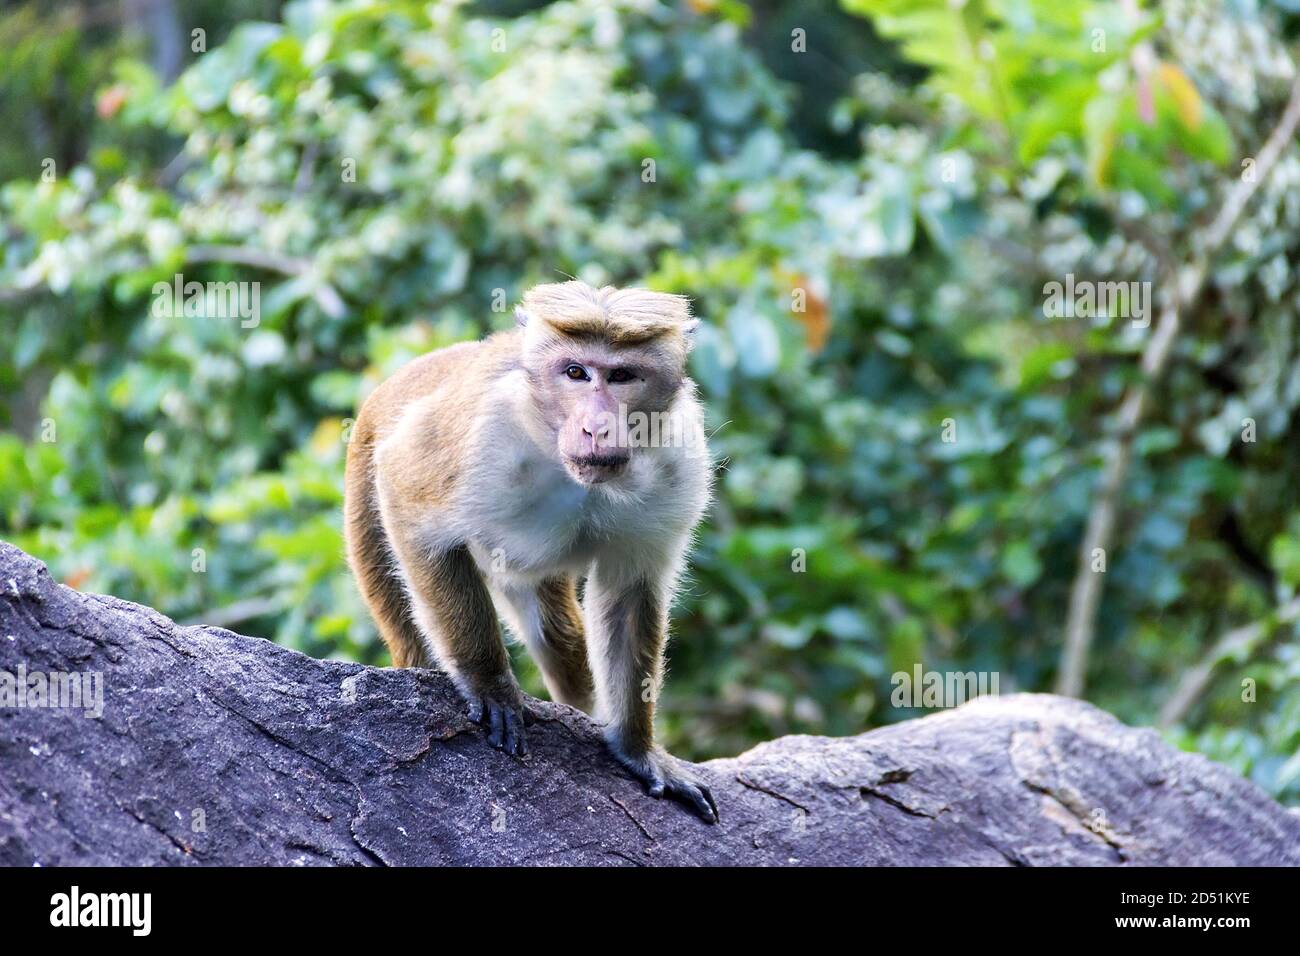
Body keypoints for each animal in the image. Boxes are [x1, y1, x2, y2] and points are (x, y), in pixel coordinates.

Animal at [343, 280, 717, 822]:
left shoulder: (678, 460)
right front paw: (489, 684)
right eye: (576, 372)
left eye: (622, 376)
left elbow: (629, 592)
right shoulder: (481, 434)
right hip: (363, 477)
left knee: (561, 639)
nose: (596, 427)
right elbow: (409, 499)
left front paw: (637, 749)